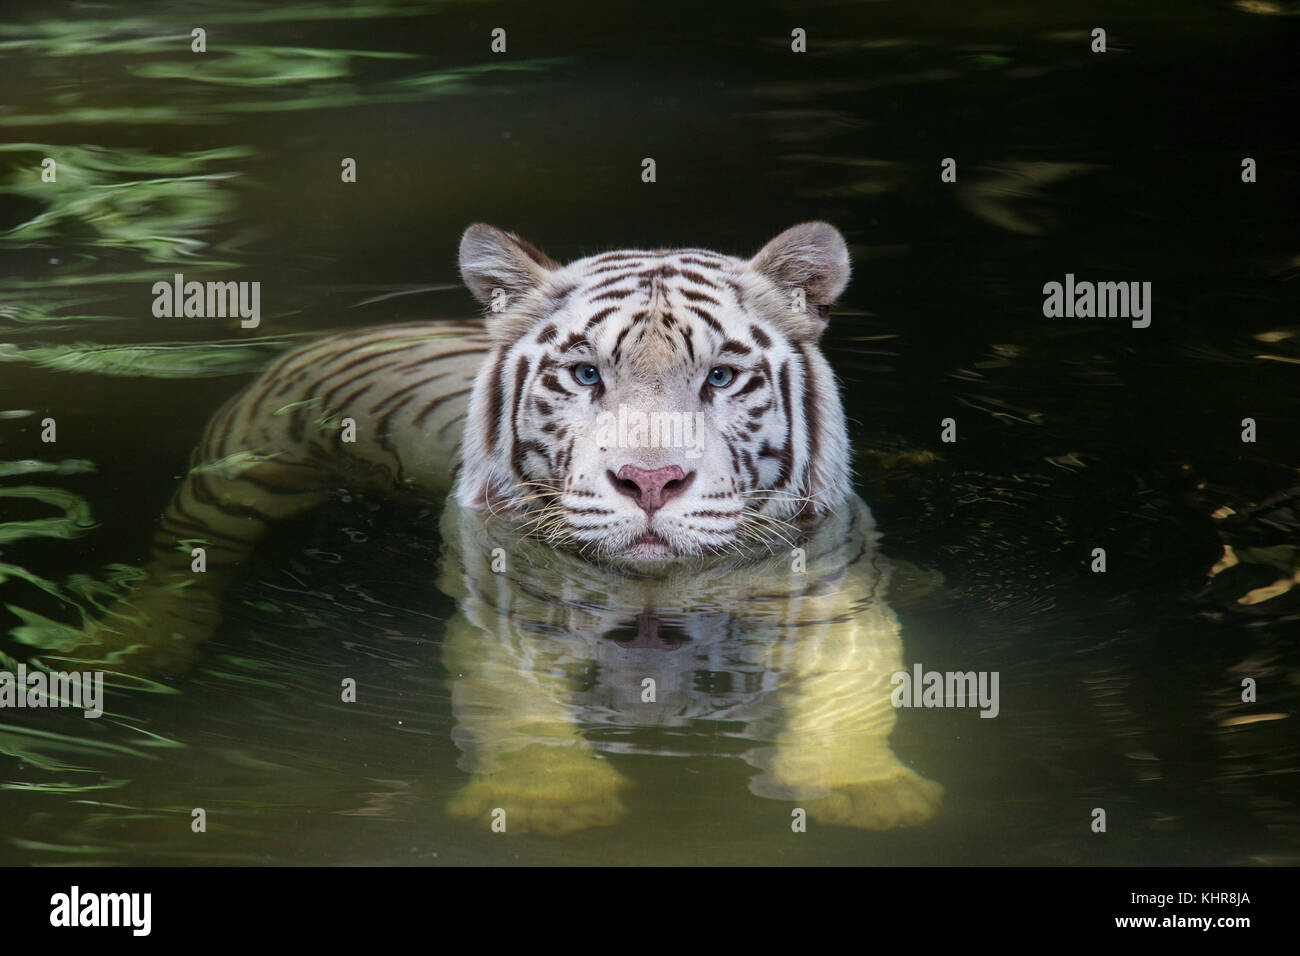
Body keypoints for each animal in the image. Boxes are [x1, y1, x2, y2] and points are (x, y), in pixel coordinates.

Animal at [43, 222, 944, 834]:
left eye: (721, 377)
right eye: (585, 375)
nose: (650, 481)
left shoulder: (839, 595)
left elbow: (854, 695)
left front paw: (866, 790)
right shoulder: (498, 602)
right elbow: (514, 708)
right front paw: (549, 800)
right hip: (244, 460)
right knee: (185, 558)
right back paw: (123, 652)